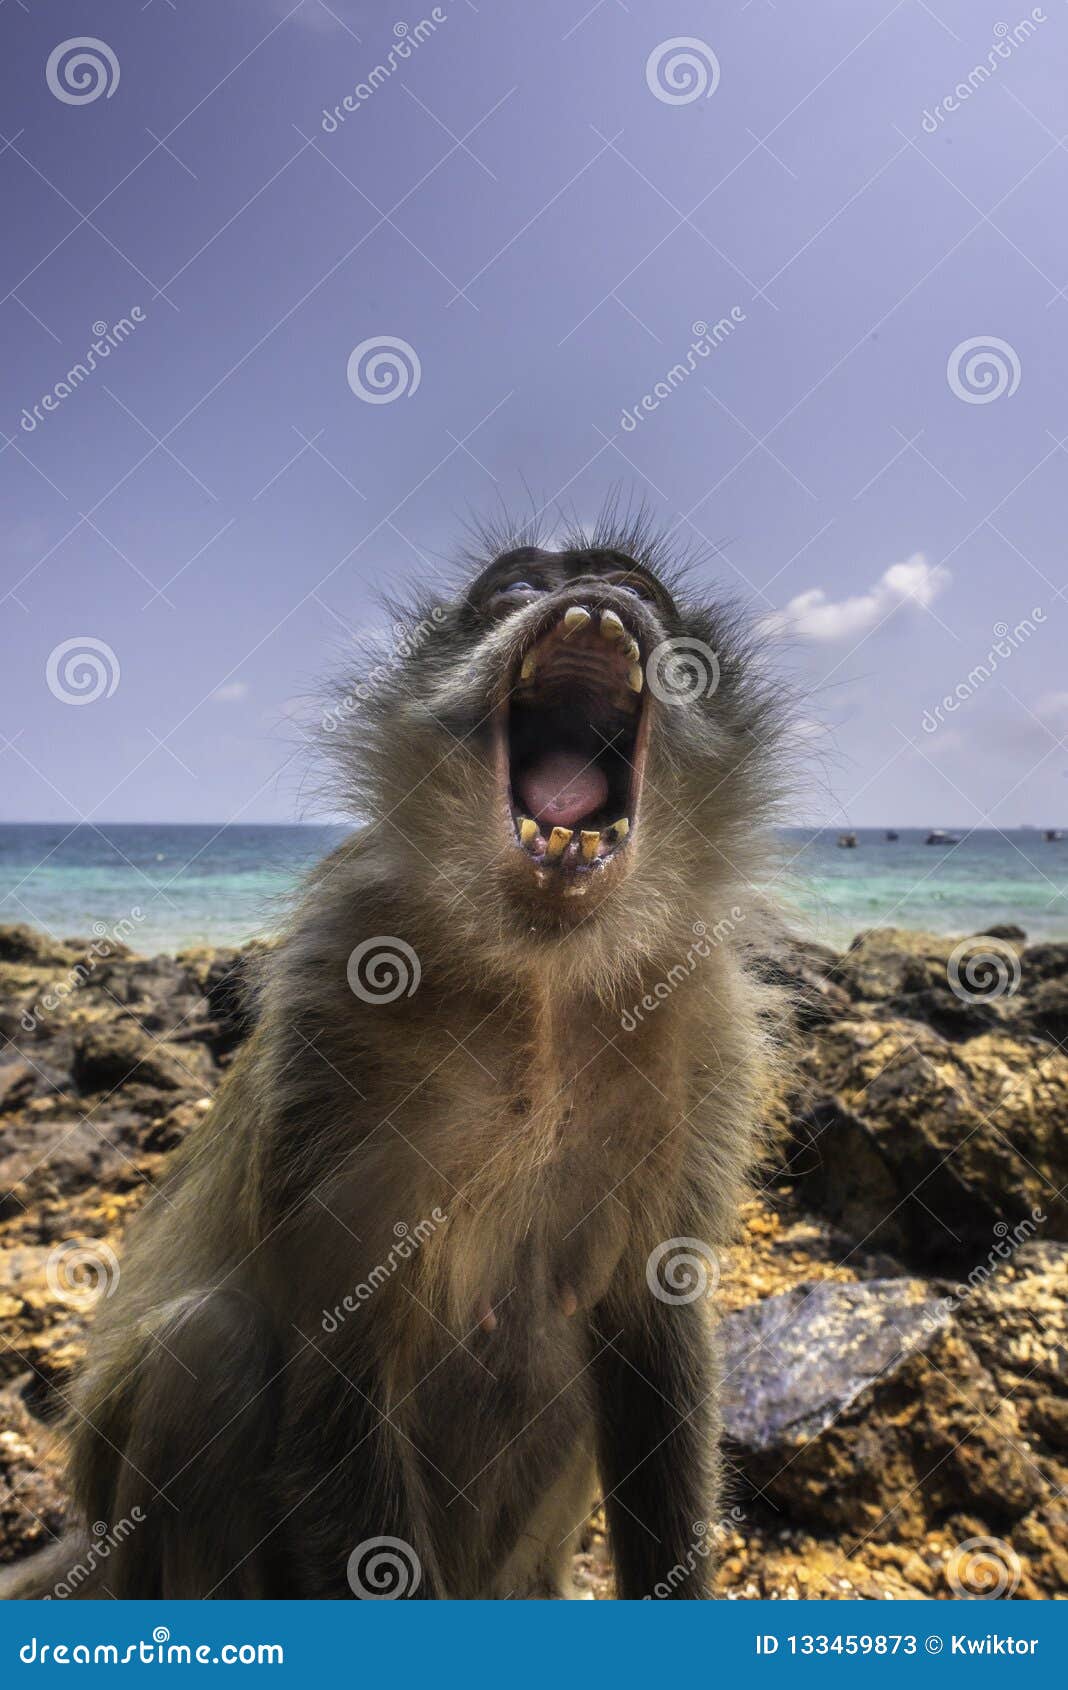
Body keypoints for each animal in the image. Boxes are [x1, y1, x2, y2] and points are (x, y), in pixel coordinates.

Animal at [3, 507, 788, 1600]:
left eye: (638, 590)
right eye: (514, 591)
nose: (593, 598)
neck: (542, 984)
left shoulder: (704, 1030)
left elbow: (652, 1326)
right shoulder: (333, 1012)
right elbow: (336, 1367)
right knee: (211, 1350)